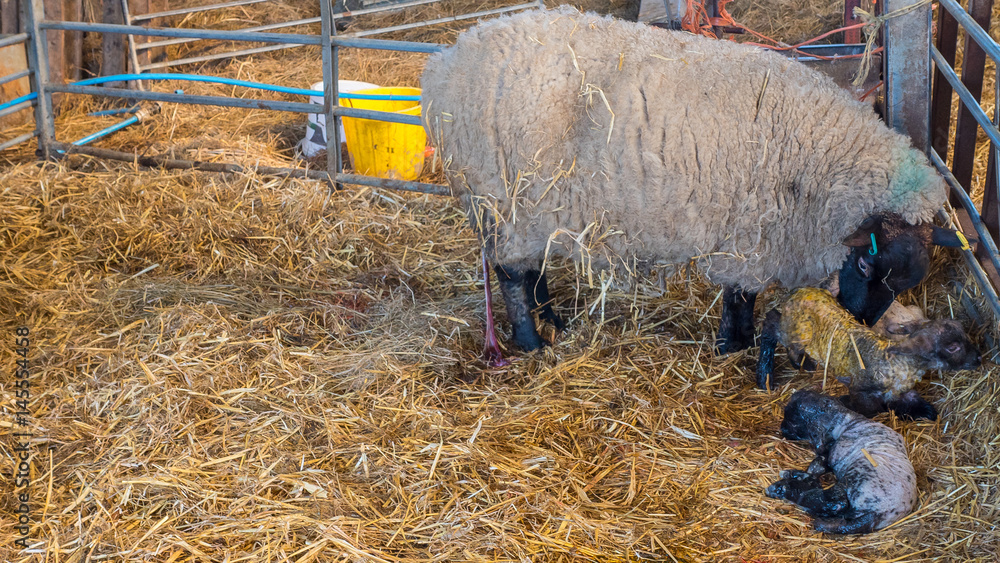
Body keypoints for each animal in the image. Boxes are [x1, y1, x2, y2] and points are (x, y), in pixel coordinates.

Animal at [420, 6, 967, 355]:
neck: (821, 164)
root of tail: (444, 65)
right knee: (512, 277)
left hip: (531, 206)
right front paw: (734, 345)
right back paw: (531, 343)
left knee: (530, 268)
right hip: (501, 199)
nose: (860, 324)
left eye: (907, 283)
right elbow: (740, 297)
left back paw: (552, 321)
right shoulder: (750, 237)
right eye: (866, 266)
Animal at [756, 287, 980, 420]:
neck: (894, 362)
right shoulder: (860, 389)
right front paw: (845, 402)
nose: (978, 359)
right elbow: (871, 409)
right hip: (794, 331)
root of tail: (797, 292)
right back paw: (777, 369)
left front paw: (928, 411)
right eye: (953, 347)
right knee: (772, 323)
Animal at [766, 390, 918, 535]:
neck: (847, 421)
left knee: (836, 502)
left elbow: (819, 464)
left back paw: (781, 488)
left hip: (858, 480)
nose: (782, 428)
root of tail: (880, 514)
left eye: (792, 420)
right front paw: (803, 475)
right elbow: (818, 466)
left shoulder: (835, 453)